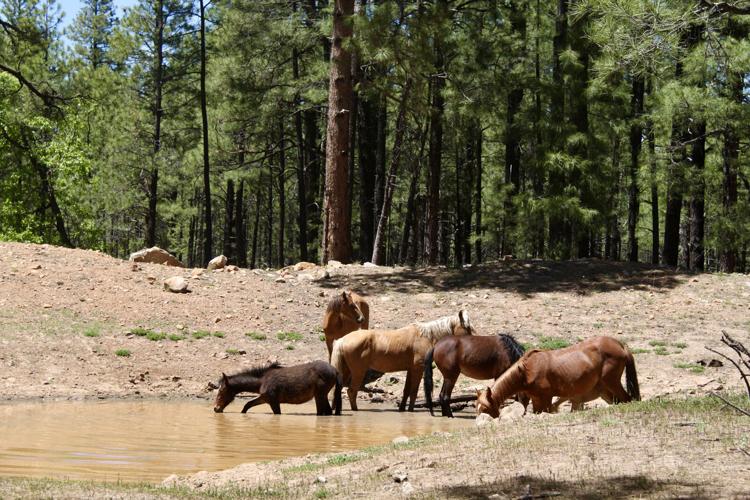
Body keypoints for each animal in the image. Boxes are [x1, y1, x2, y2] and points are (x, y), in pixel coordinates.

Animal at [213, 361, 342, 416]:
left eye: (222, 391)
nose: (216, 408)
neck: (262, 381)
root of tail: (335, 370)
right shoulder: (264, 399)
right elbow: (247, 405)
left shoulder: (273, 402)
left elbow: (277, 413)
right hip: (321, 396)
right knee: (328, 412)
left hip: (319, 396)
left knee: (321, 413)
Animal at [331, 310, 475, 412]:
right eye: (467, 328)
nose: (472, 343)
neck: (427, 336)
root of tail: (342, 340)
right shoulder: (418, 369)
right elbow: (413, 392)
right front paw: (410, 410)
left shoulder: (411, 370)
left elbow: (406, 391)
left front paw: (402, 409)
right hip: (358, 372)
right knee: (351, 391)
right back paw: (355, 410)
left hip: (346, 371)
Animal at [475, 336, 640, 417]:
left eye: (485, 408)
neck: (526, 372)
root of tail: (621, 346)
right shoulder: (537, 400)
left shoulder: (546, 398)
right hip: (606, 389)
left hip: (612, 383)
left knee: (626, 399)